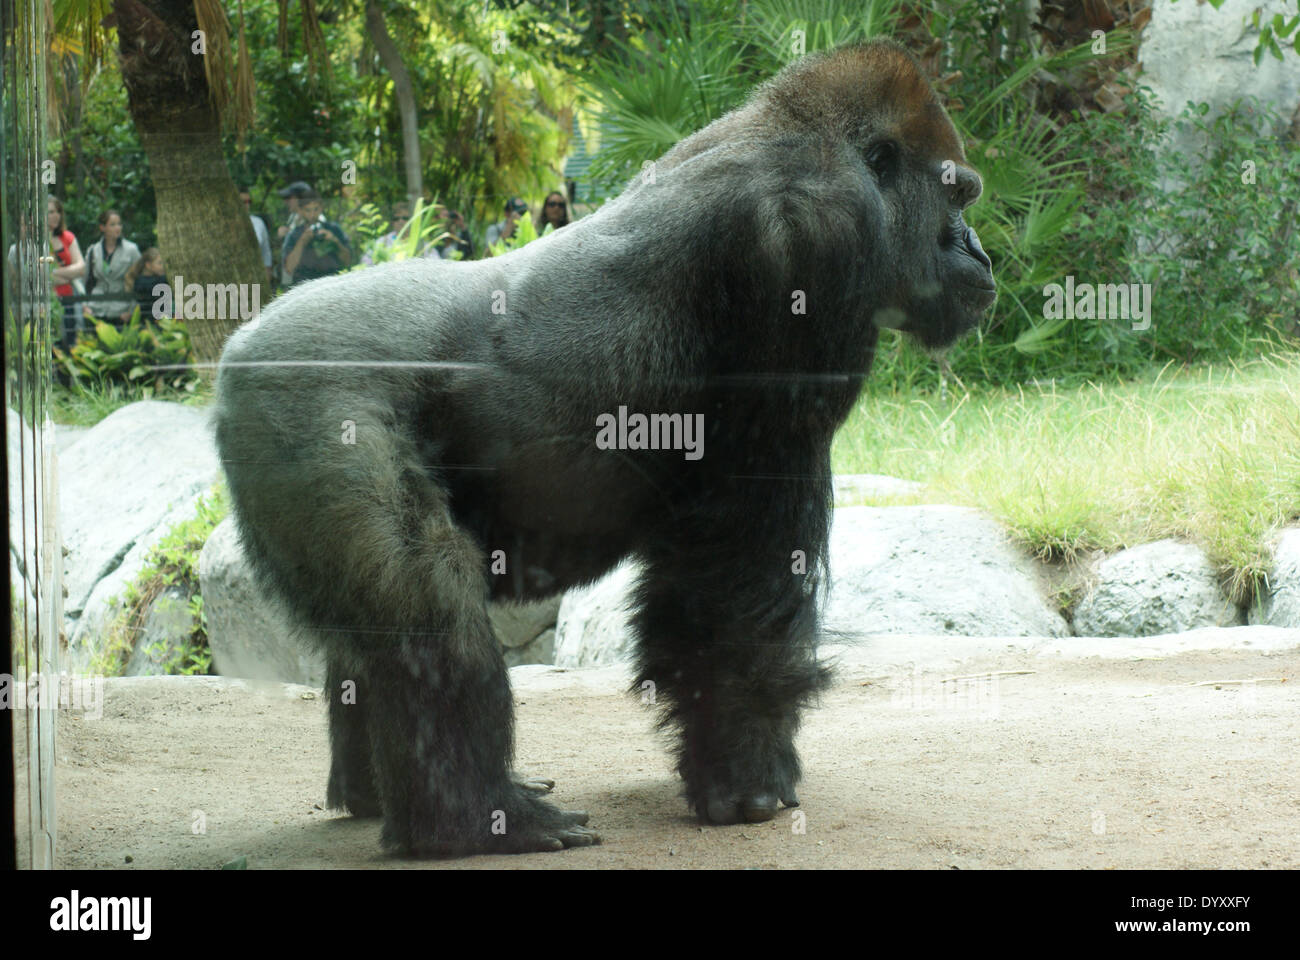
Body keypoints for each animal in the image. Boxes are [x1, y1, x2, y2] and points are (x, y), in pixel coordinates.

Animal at [213, 38, 995, 856]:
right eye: (958, 199)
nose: (982, 255)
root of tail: (234, 358)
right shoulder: (809, 244)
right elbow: (740, 563)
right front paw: (744, 775)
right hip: (316, 408)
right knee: (427, 600)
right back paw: (468, 820)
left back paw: (372, 793)